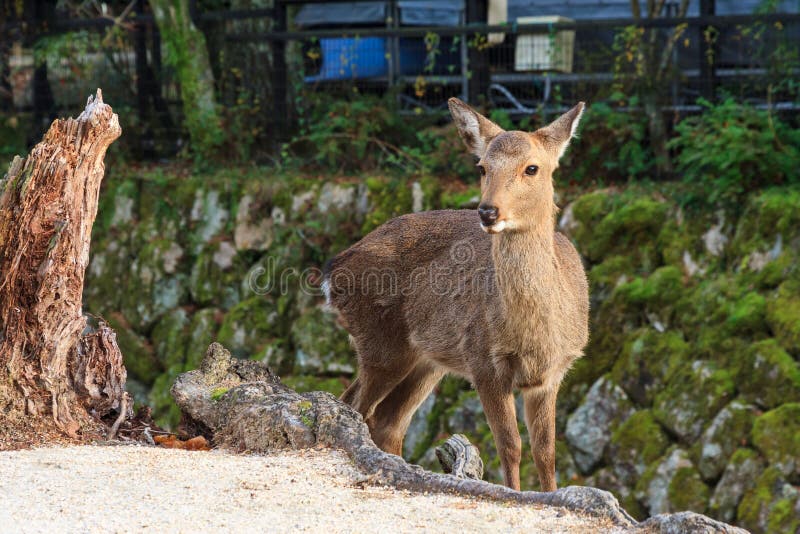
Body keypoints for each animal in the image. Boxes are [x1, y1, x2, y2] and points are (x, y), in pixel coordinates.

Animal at [321, 98, 589, 492]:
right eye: (482, 167)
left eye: (532, 168)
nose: (488, 211)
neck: (534, 335)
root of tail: (332, 269)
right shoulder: (482, 362)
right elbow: (510, 446)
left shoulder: (552, 373)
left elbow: (546, 452)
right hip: (380, 343)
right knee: (353, 405)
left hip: (426, 361)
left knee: (386, 420)